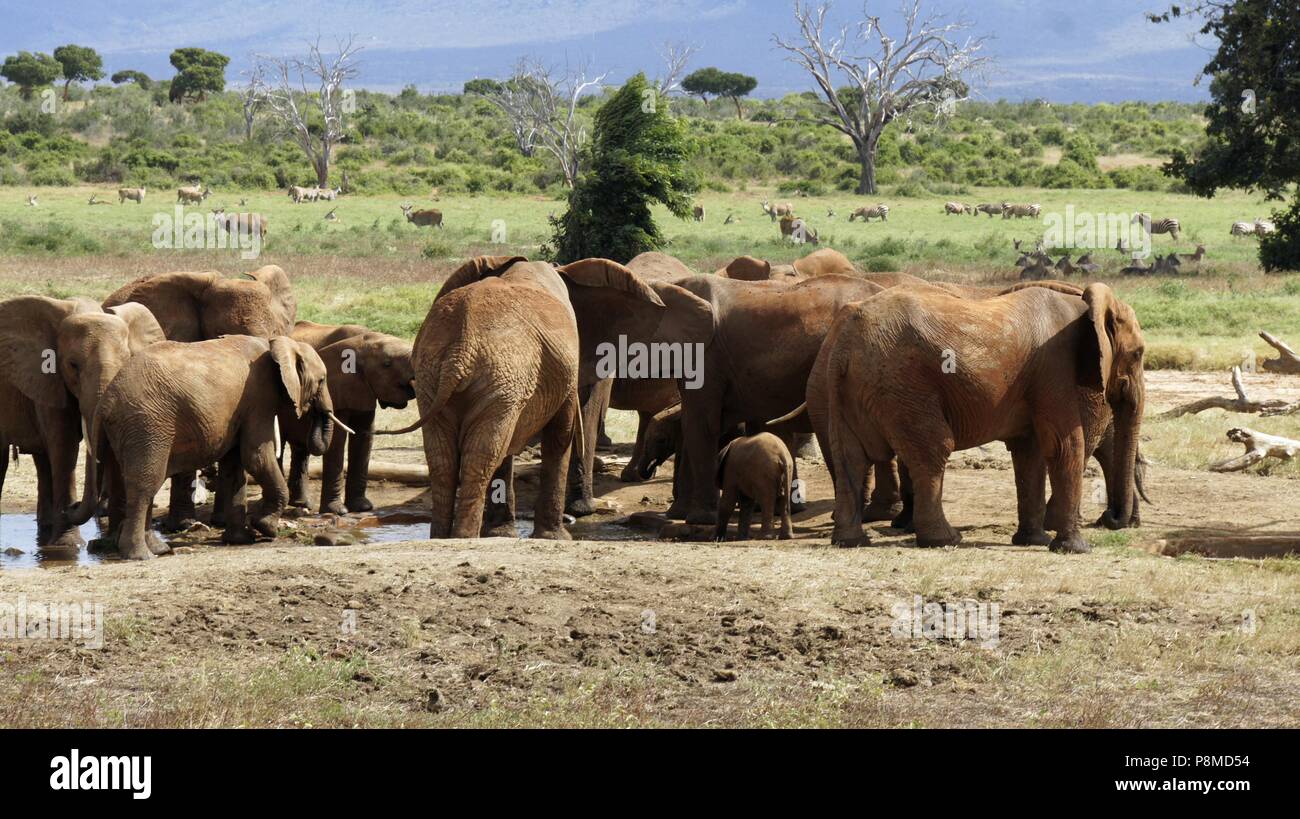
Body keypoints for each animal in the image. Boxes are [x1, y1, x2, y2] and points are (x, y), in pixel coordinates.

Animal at [0, 297, 164, 548]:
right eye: (73, 365)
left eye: (126, 361)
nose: (72, 507)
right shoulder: (50, 381)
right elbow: (64, 448)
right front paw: (67, 545)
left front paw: (112, 542)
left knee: (42, 460)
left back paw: (47, 527)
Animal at [72, 335, 336, 560]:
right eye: (322, 380)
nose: (317, 411)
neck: (278, 343)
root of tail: (106, 400)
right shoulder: (259, 398)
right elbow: (255, 457)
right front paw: (266, 529)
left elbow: (235, 466)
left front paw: (242, 539)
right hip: (146, 425)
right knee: (145, 485)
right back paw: (142, 555)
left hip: (131, 430)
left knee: (142, 483)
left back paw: (159, 549)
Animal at [281, 321, 416, 514]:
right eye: (387, 364)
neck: (363, 341)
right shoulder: (338, 388)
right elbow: (337, 440)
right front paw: (337, 511)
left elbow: (364, 436)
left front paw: (363, 507)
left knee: (300, 448)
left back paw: (302, 504)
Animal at [378, 256, 660, 540]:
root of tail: (461, 348)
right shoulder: (564, 367)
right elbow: (561, 433)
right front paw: (556, 538)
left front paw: (501, 535)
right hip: (495, 376)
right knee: (482, 455)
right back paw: (463, 538)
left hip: (439, 378)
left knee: (445, 458)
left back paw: (442, 538)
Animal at [816, 283, 1145, 553]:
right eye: (1139, 354)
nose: (1111, 518)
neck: (1084, 306)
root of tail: (845, 342)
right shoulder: (1054, 367)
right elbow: (1063, 445)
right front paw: (1075, 549)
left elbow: (1029, 452)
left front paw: (1032, 541)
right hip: (903, 384)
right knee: (933, 450)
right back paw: (944, 539)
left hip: (846, 388)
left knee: (849, 457)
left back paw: (850, 541)